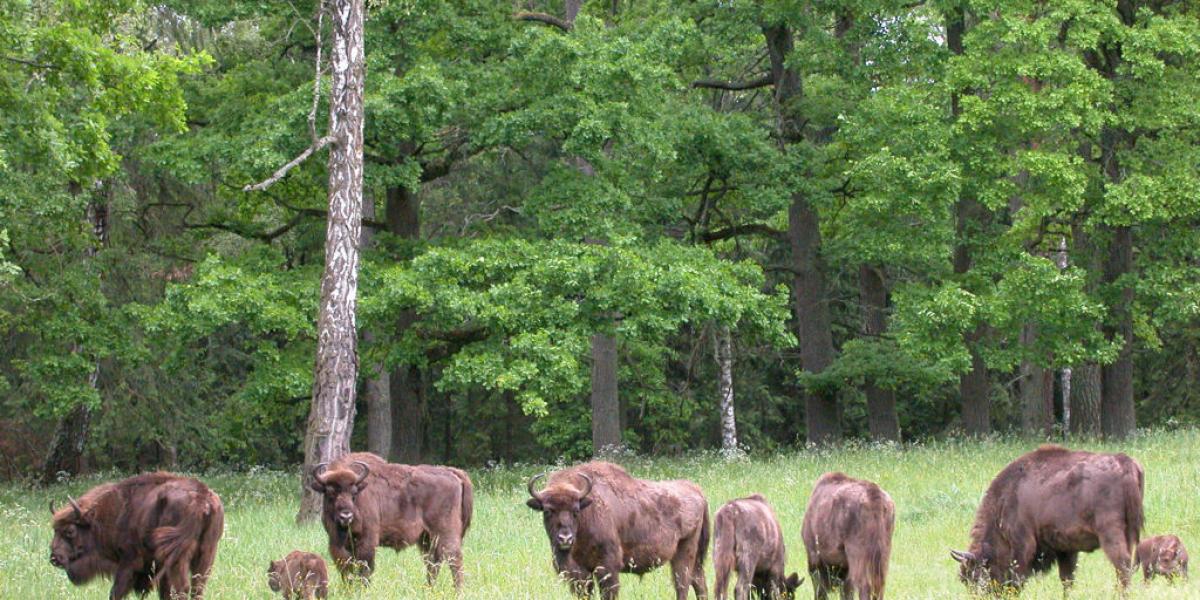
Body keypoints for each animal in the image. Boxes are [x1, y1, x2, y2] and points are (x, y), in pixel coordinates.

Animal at [48, 472, 225, 600]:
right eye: (55, 530)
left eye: (70, 531)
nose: (55, 558)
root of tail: (202, 499)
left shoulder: (129, 562)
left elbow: (116, 592)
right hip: (206, 554)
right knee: (197, 588)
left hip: (179, 558)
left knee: (183, 589)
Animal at [309, 451, 472, 588]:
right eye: (330, 493)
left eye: (354, 493)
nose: (346, 516)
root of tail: (452, 472)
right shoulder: (338, 545)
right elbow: (347, 569)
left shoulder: (367, 542)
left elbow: (364, 569)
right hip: (427, 538)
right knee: (433, 562)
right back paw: (429, 588)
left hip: (444, 533)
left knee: (454, 559)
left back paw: (457, 590)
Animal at [528, 460, 710, 597]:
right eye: (547, 511)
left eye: (576, 510)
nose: (565, 538)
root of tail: (696, 490)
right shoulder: (580, 574)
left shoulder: (608, 568)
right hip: (693, 558)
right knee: (699, 582)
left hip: (684, 553)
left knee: (683, 585)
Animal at [801, 472, 897, 600]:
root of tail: (874, 497)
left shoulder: (814, 558)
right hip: (884, 552)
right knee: (879, 585)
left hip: (858, 553)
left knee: (865, 585)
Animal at [950, 444, 1147, 592]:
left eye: (975, 577)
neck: (1005, 499)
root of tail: (1124, 462)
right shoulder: (1066, 549)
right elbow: (1067, 579)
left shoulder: (1022, 543)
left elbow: (1018, 576)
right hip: (1129, 534)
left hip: (1110, 534)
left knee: (1122, 565)